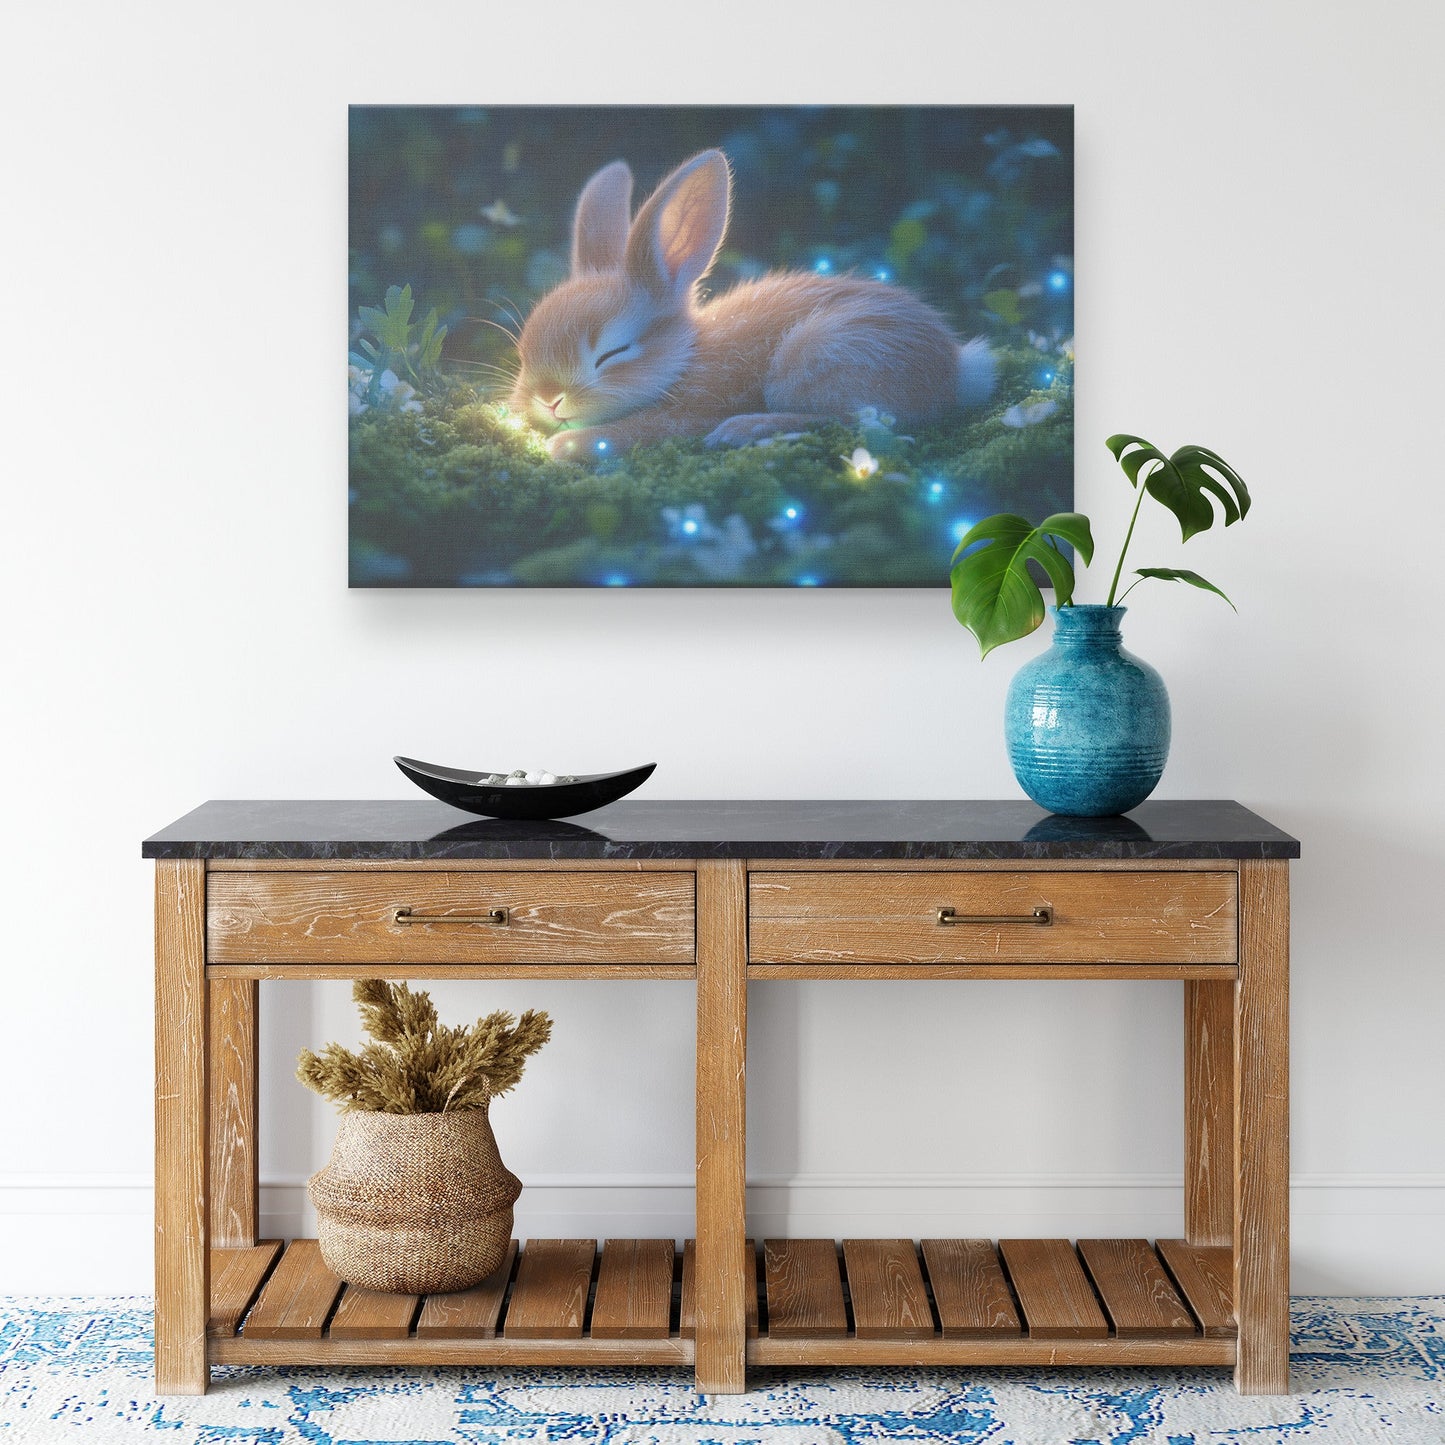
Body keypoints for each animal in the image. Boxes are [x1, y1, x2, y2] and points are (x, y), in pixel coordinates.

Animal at [509, 149, 996, 460]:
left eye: (613, 352)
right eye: (523, 353)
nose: (547, 399)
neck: (686, 359)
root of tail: (957, 370)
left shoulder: (695, 408)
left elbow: (642, 429)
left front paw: (564, 446)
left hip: (815, 360)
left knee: (863, 421)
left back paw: (741, 430)